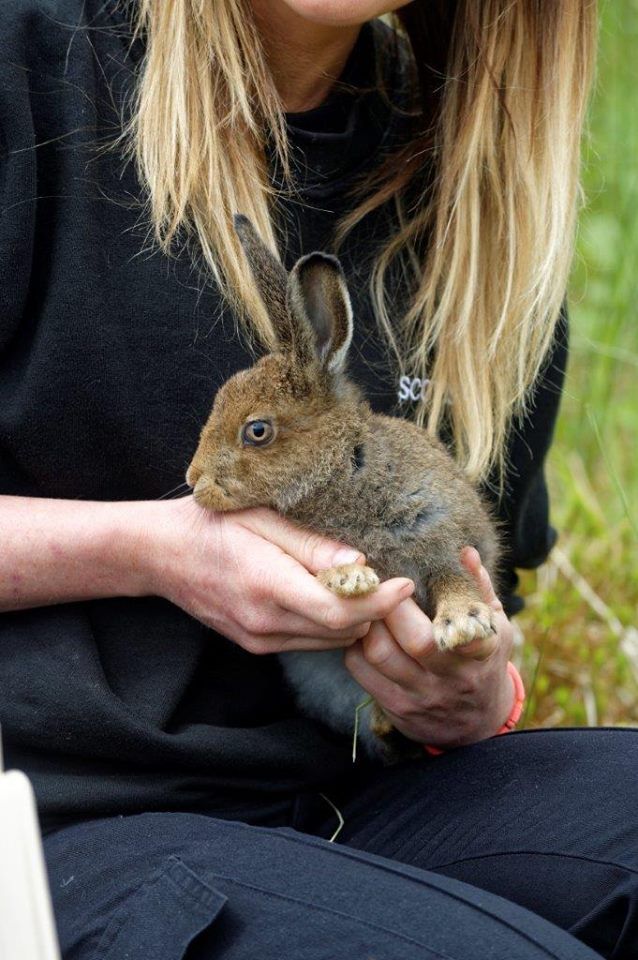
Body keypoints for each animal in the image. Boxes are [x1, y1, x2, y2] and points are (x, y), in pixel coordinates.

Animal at [186, 214, 501, 759]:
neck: (345, 469)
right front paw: (348, 579)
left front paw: (462, 624)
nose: (193, 480)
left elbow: (453, 577)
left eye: (257, 431)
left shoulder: (445, 534)